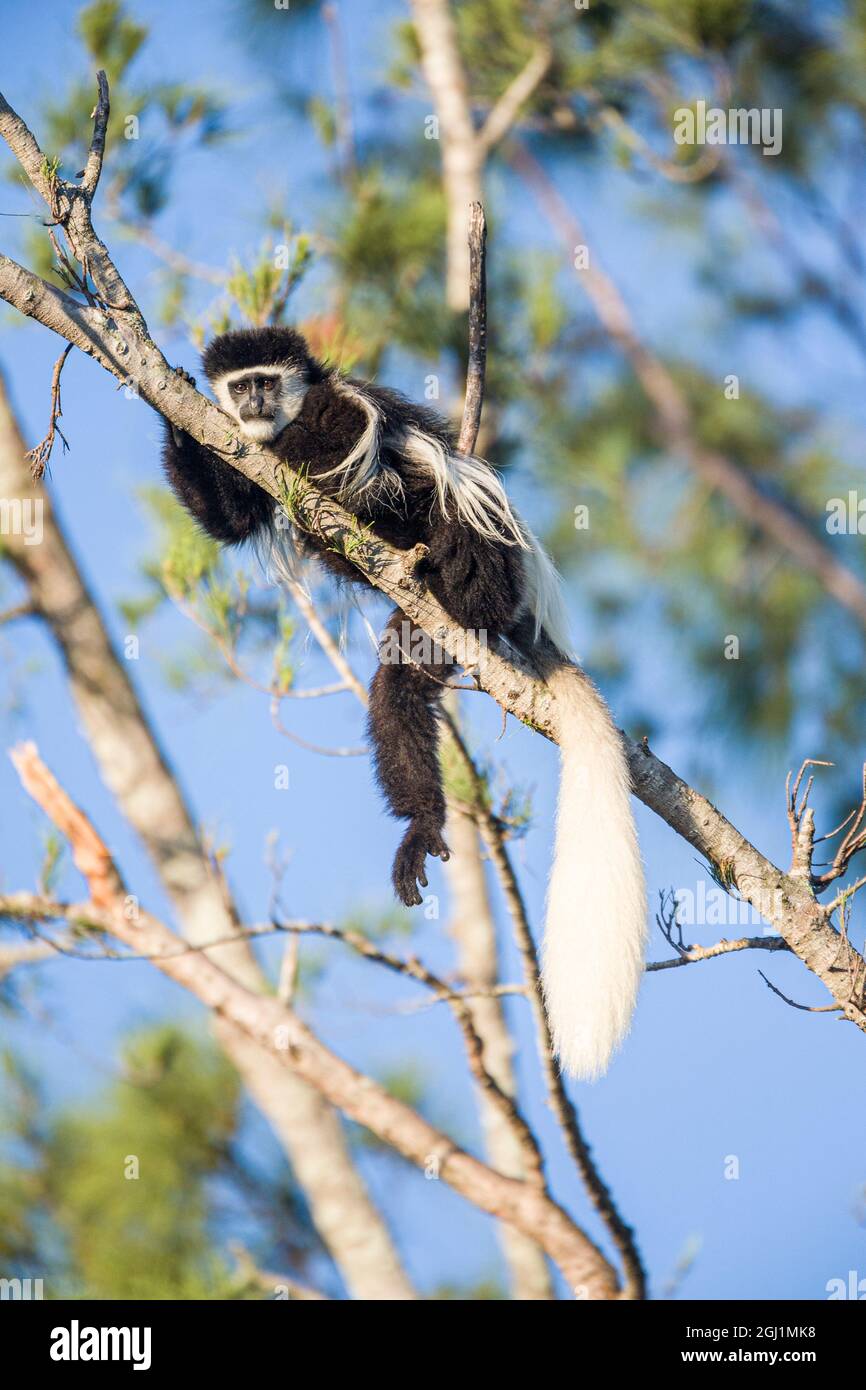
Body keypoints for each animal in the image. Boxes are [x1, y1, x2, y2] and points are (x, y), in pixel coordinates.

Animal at [161, 327, 647, 1079]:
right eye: (240, 386)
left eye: (268, 380)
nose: (256, 404)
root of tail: (516, 609)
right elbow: (234, 519)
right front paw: (173, 407)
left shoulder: (338, 412)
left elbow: (355, 461)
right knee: (398, 693)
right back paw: (420, 819)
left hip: (481, 565)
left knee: (438, 514)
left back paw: (440, 579)